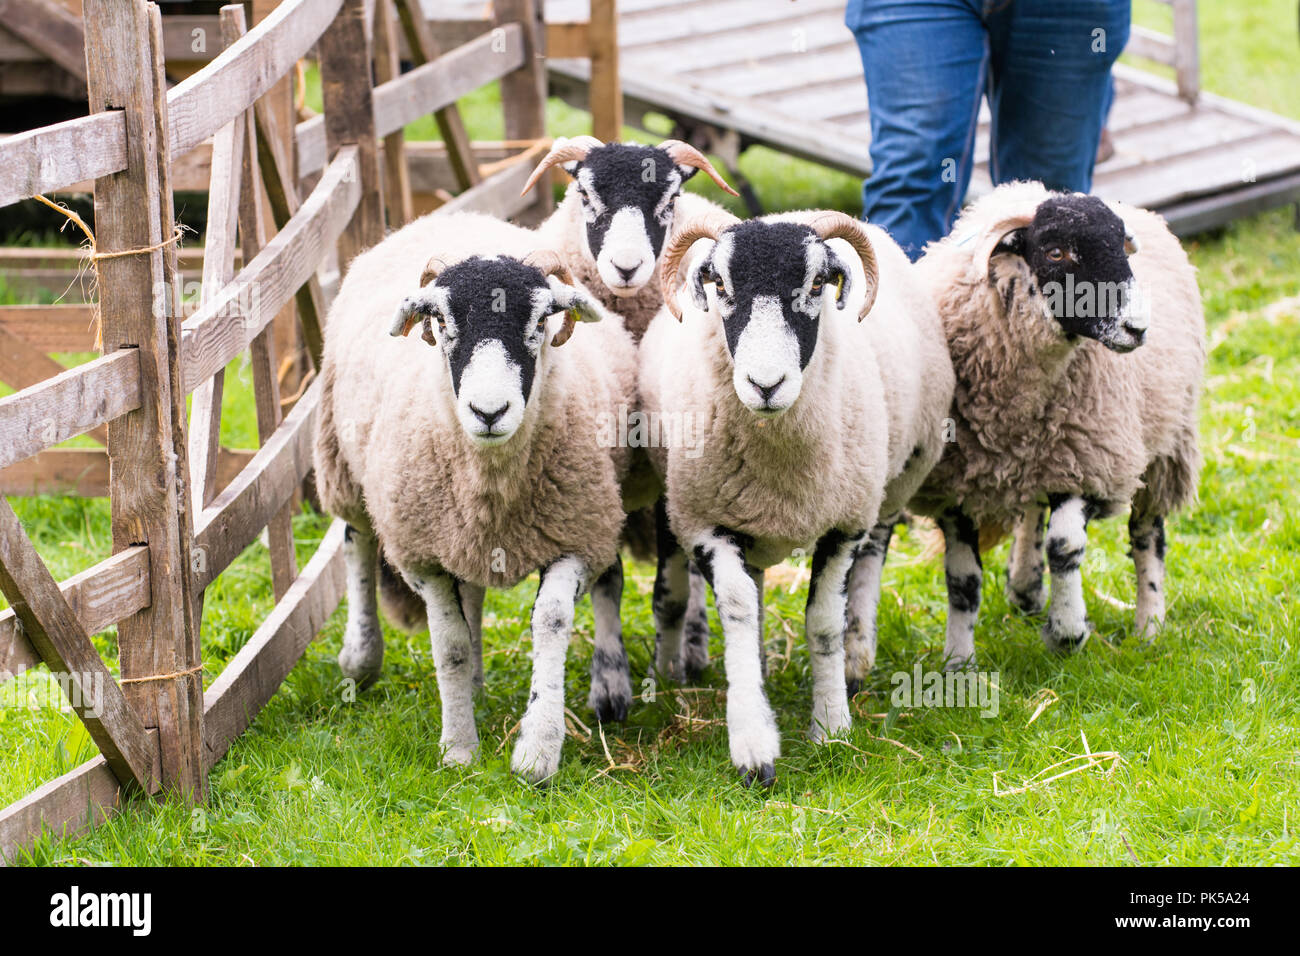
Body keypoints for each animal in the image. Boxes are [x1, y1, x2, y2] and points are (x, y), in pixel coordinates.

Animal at [313, 210, 638, 783]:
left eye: (541, 321)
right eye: (442, 323)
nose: (489, 412)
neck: (493, 486)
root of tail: (454, 215)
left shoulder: (577, 534)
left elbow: (549, 621)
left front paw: (537, 751)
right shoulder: (421, 553)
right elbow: (450, 645)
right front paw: (459, 748)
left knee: (477, 593)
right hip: (345, 466)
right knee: (357, 541)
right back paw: (360, 657)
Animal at [521, 135, 741, 688]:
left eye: (668, 200)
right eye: (585, 195)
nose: (625, 267)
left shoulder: (668, 474)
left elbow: (672, 588)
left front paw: (668, 668)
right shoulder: (598, 482)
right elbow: (608, 578)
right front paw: (610, 680)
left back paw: (693, 646)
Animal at [639, 208, 946, 785]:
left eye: (818, 285)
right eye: (719, 285)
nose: (766, 384)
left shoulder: (845, 523)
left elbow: (824, 620)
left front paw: (832, 725)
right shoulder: (705, 522)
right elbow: (739, 610)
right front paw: (753, 742)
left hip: (894, 480)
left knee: (876, 553)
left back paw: (857, 656)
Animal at [894, 181, 1207, 666]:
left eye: (1120, 247)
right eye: (1056, 252)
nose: (1137, 328)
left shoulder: (1088, 463)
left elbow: (1065, 544)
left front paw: (1067, 632)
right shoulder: (954, 488)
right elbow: (962, 580)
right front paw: (959, 662)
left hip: (1164, 448)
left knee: (1146, 536)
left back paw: (1149, 625)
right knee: (1032, 510)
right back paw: (1025, 586)